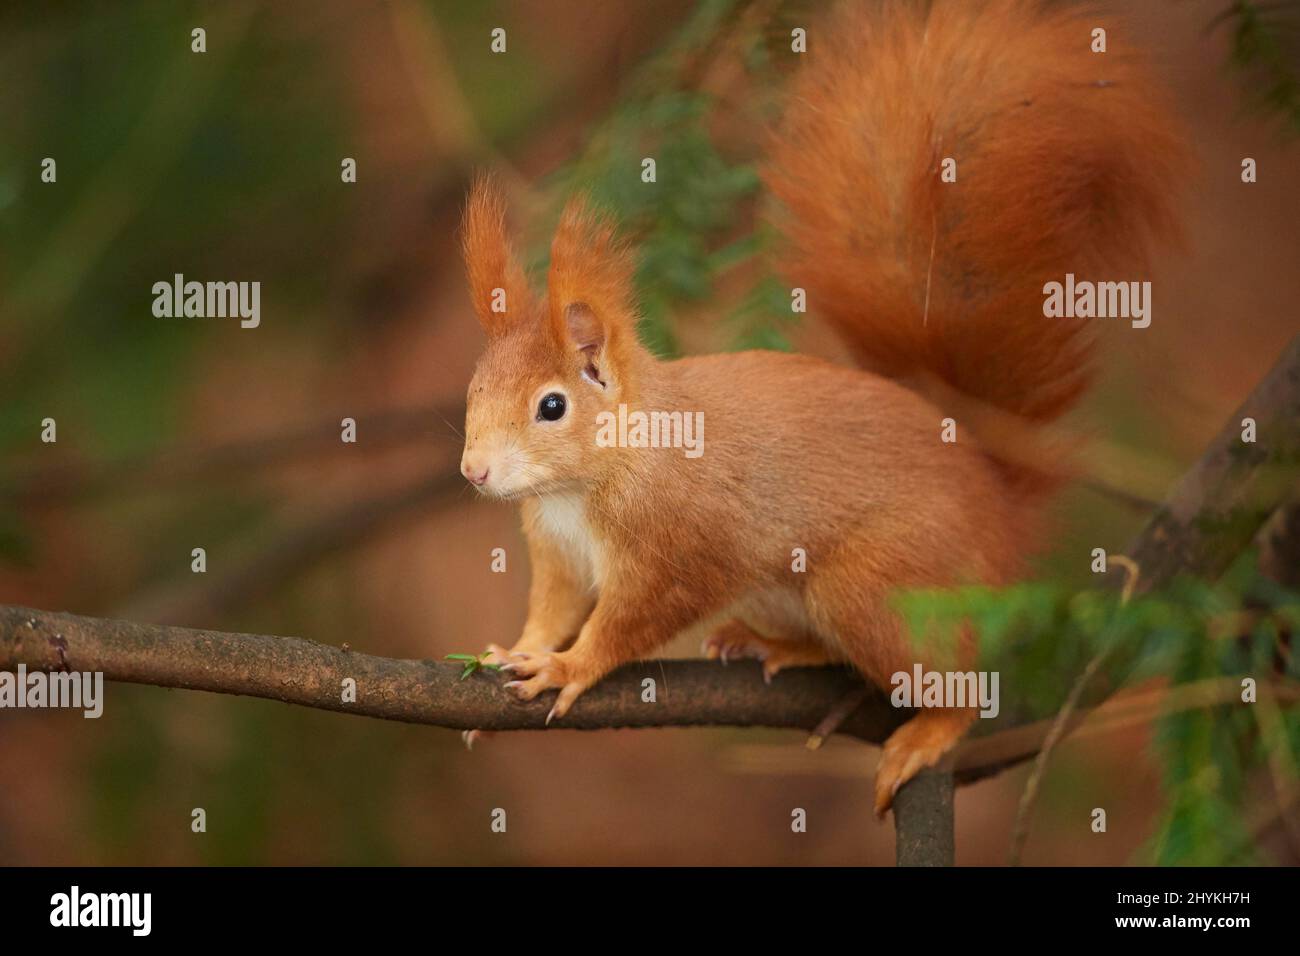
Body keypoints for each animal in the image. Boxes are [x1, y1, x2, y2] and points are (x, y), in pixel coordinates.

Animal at [457, 0, 1187, 815]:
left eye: (552, 406)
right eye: (473, 389)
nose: (474, 472)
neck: (589, 481)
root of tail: (996, 503)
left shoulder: (680, 544)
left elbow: (634, 623)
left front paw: (569, 666)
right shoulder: (558, 553)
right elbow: (553, 608)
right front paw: (518, 651)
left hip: (872, 585)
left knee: (960, 683)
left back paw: (931, 730)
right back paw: (773, 644)